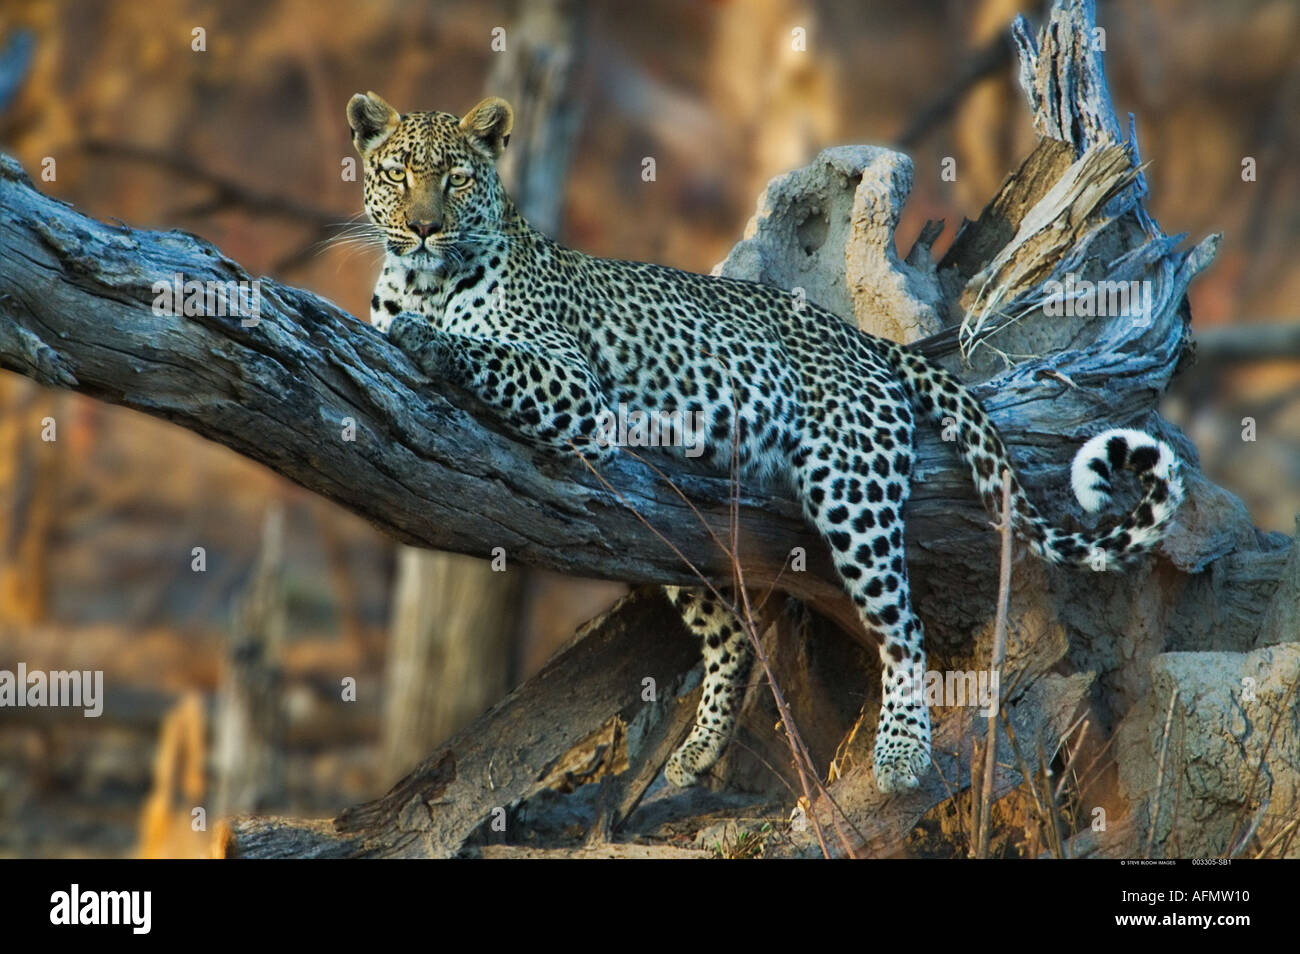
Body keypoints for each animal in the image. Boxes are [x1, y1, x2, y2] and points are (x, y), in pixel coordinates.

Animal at [346, 91, 1186, 795]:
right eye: (397, 175)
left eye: (455, 180)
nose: (422, 227)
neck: (421, 281)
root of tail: (866, 342)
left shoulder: (574, 386)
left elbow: (488, 354)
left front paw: (429, 340)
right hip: (673, 528)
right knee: (732, 636)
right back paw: (697, 751)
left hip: (851, 491)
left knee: (903, 629)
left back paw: (901, 753)